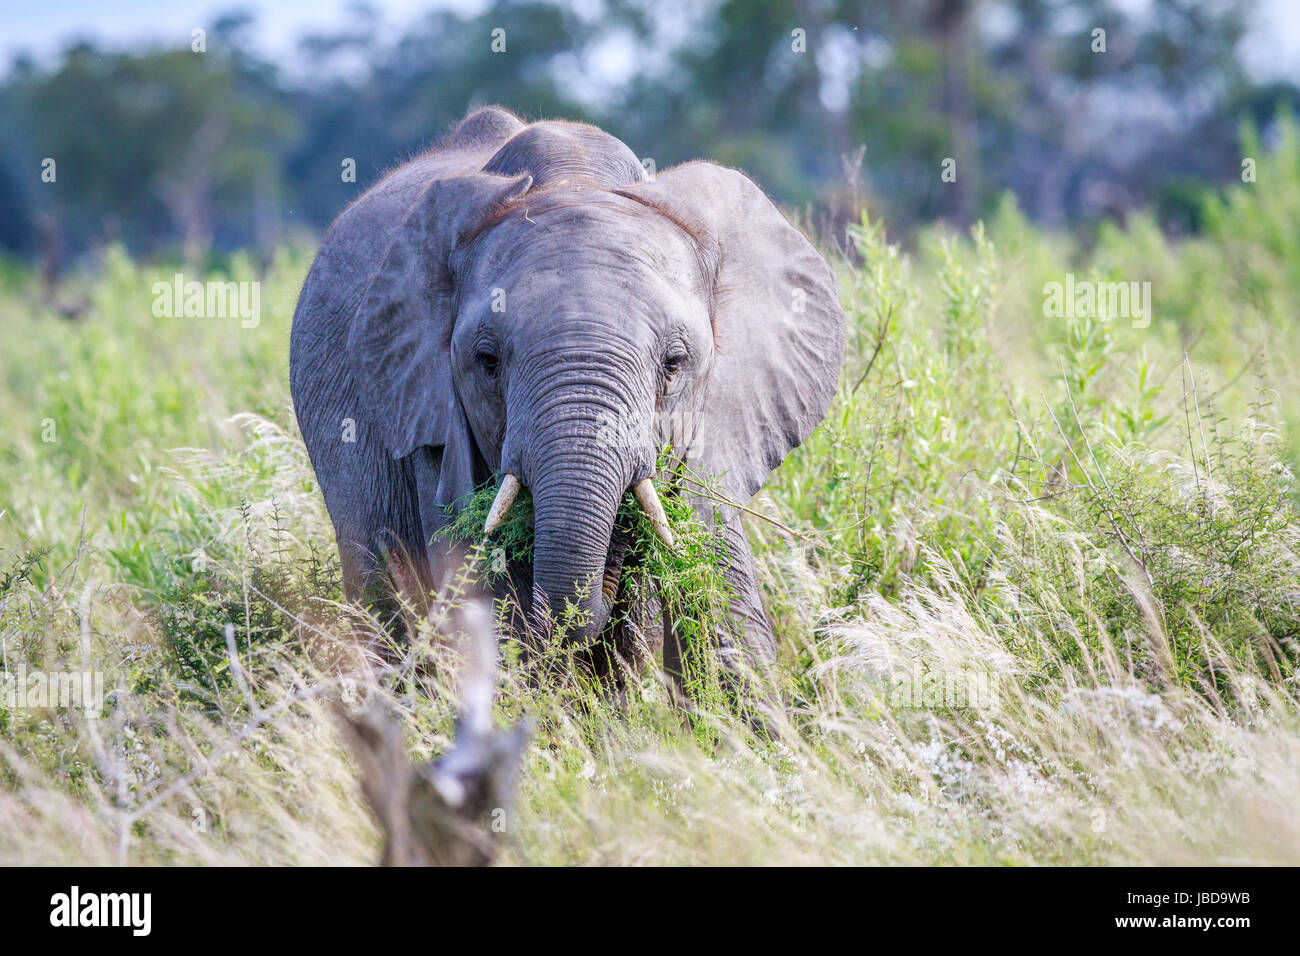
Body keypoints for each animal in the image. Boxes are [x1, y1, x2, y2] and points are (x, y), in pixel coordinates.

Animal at [290, 106, 845, 709]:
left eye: (674, 363)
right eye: (487, 361)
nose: (596, 603)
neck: (576, 179)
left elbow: (720, 576)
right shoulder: (427, 413)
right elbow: (475, 582)